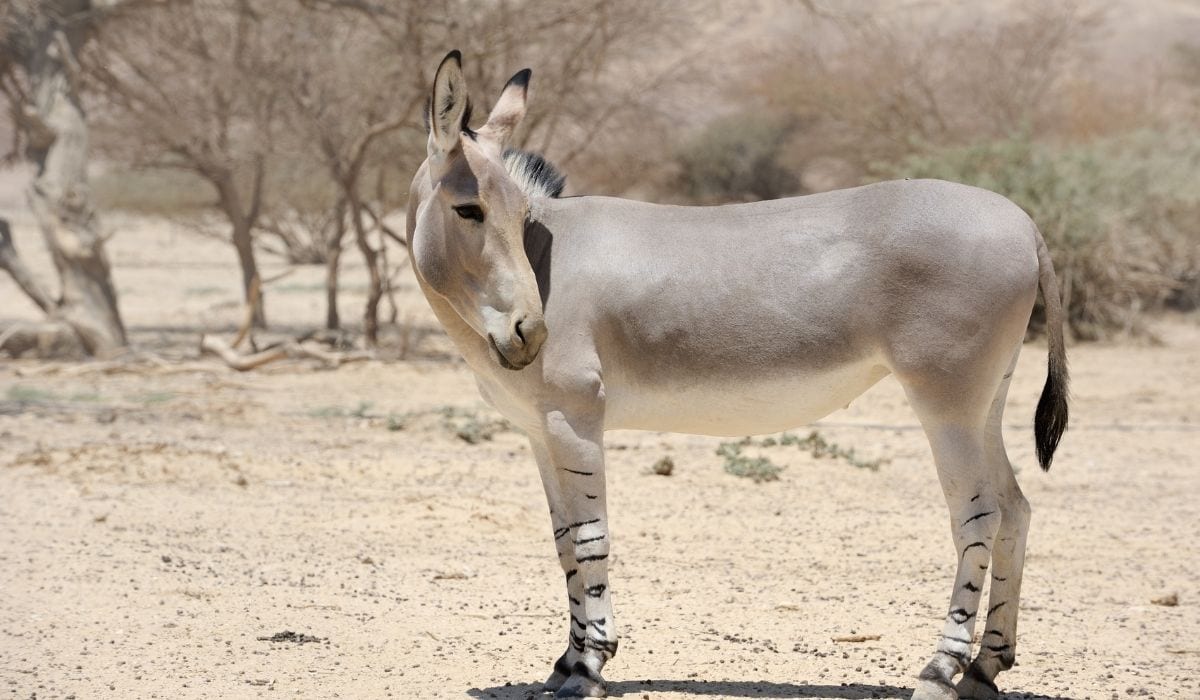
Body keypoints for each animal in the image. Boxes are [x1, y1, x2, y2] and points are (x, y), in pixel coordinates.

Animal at [405, 51, 1068, 700]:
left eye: (518, 215)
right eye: (470, 210)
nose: (530, 334)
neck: (545, 259)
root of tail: (1023, 219)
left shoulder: (574, 418)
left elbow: (590, 538)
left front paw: (588, 668)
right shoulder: (539, 431)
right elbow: (564, 539)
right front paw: (566, 662)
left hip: (945, 401)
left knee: (978, 517)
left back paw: (939, 670)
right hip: (985, 401)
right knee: (1015, 508)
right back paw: (986, 667)